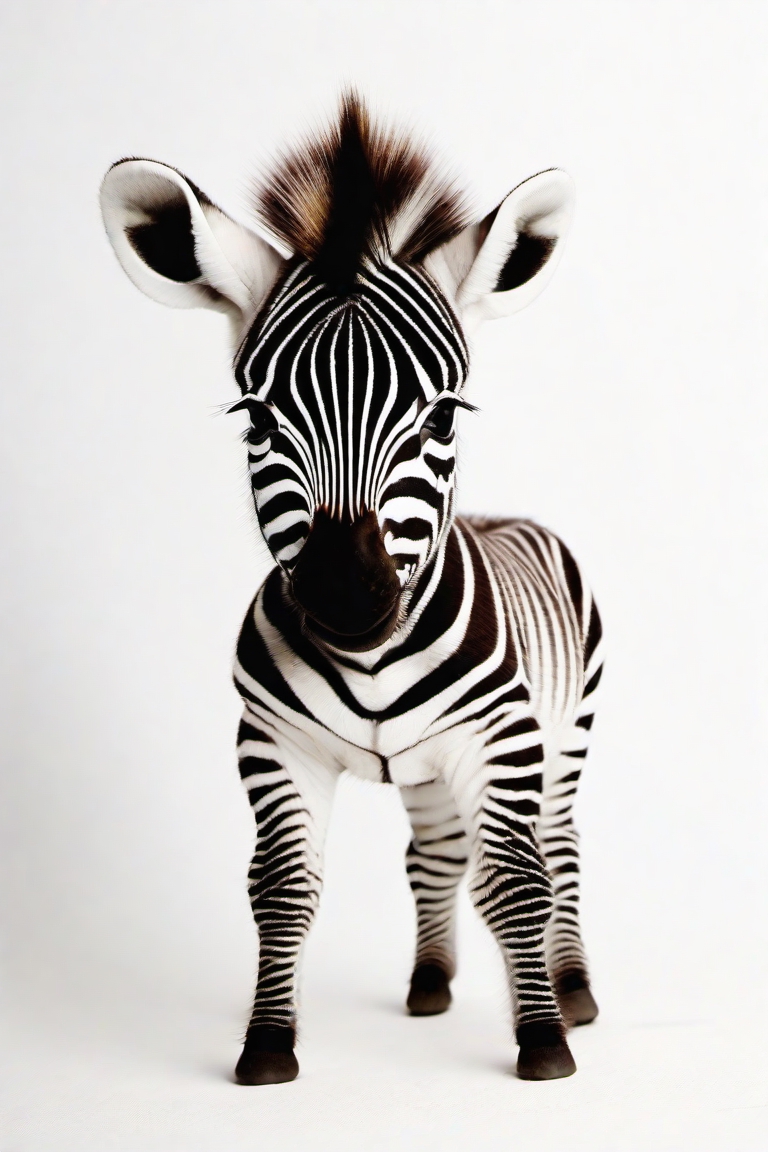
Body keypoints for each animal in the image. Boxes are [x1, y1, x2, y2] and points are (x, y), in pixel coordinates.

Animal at [100, 93, 603, 1084]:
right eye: (257, 419)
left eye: (443, 416)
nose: (347, 601)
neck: (373, 665)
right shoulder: (273, 743)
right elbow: (282, 888)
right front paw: (267, 1045)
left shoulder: (503, 739)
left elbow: (519, 881)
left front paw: (543, 1045)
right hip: (430, 772)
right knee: (436, 855)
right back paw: (430, 984)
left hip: (563, 741)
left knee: (558, 854)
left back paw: (571, 993)